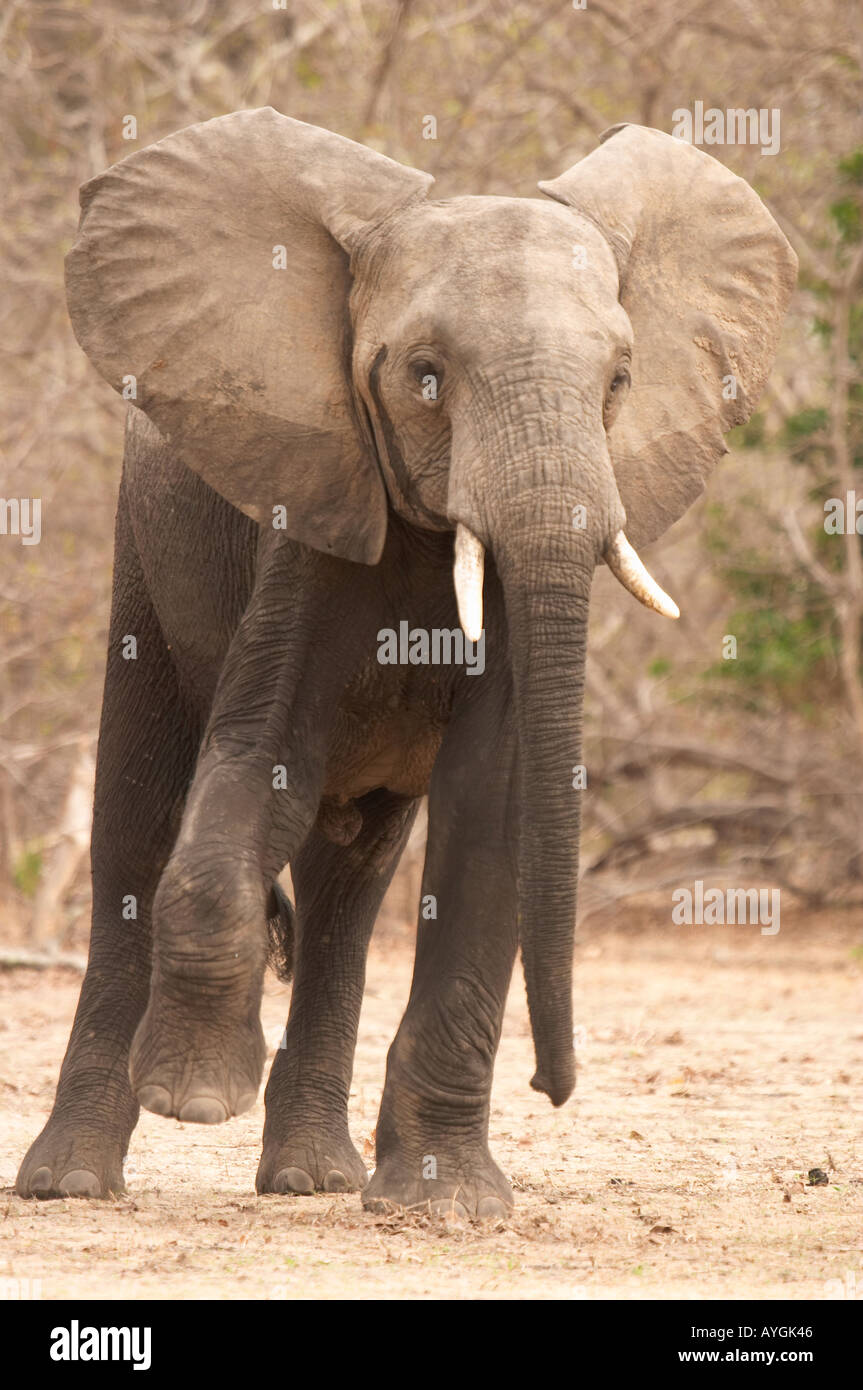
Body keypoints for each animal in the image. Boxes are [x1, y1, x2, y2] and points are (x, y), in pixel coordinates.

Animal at [16, 110, 796, 1218]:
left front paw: (444, 1204)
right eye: (424, 377)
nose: (554, 1086)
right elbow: (262, 764)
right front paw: (197, 1094)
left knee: (350, 879)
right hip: (145, 559)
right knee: (136, 826)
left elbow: (492, 800)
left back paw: (310, 1179)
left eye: (617, 382)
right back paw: (73, 1182)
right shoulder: (308, 515)